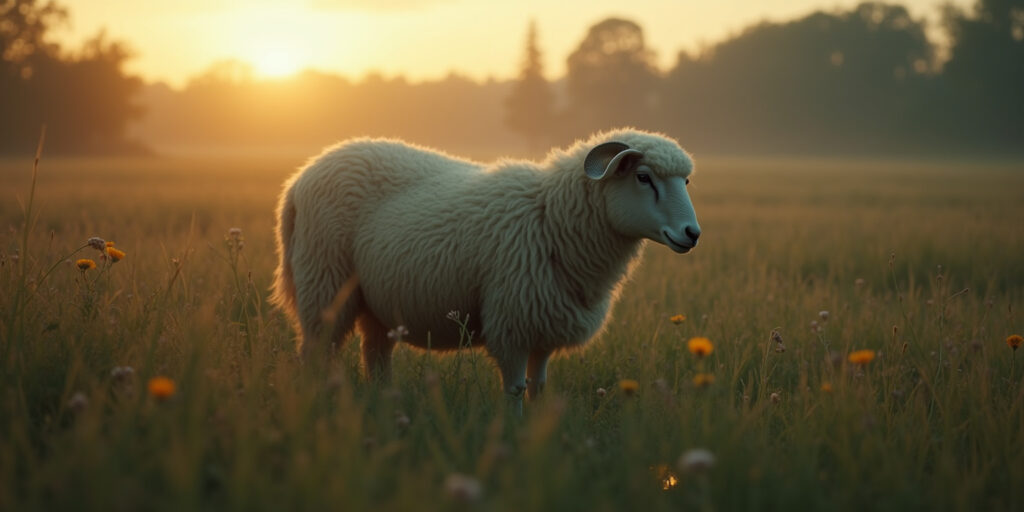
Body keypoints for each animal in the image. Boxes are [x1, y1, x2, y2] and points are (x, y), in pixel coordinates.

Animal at [270, 128, 701, 408]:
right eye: (643, 178)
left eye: (686, 181)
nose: (692, 233)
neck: (550, 216)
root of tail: (298, 181)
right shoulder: (512, 322)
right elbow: (515, 390)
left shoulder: (544, 322)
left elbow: (538, 386)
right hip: (323, 286)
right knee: (315, 354)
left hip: (377, 303)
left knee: (375, 357)